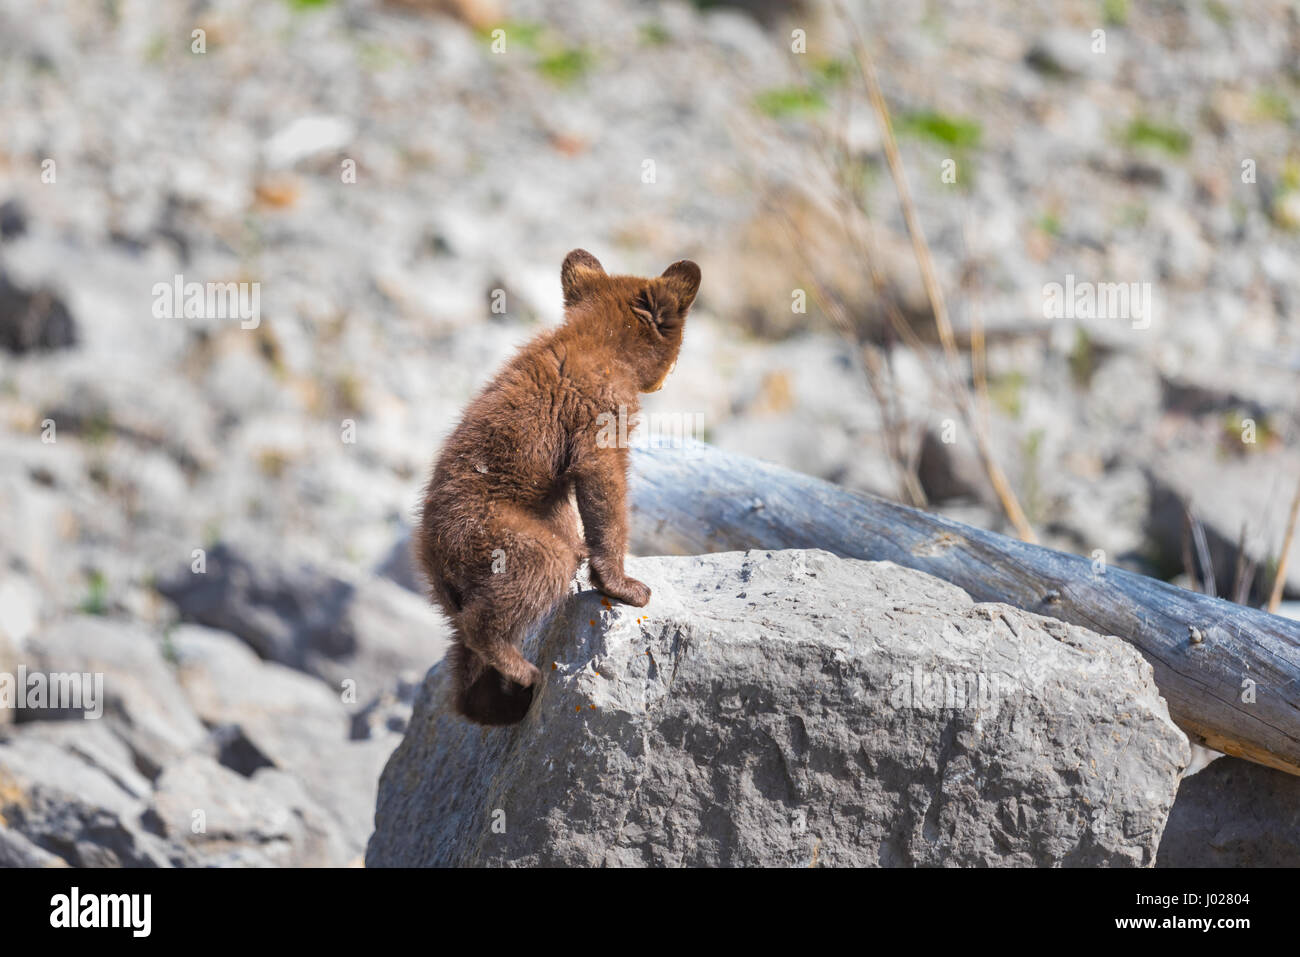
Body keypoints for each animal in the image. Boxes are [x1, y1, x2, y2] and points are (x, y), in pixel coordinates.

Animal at [414, 249, 701, 725]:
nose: (665, 379)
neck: (603, 341)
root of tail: (430, 557)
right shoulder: (599, 408)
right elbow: (603, 481)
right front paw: (623, 584)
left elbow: (567, 504)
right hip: (493, 534)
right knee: (531, 574)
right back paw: (523, 671)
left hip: (457, 586)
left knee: (461, 655)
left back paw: (495, 701)